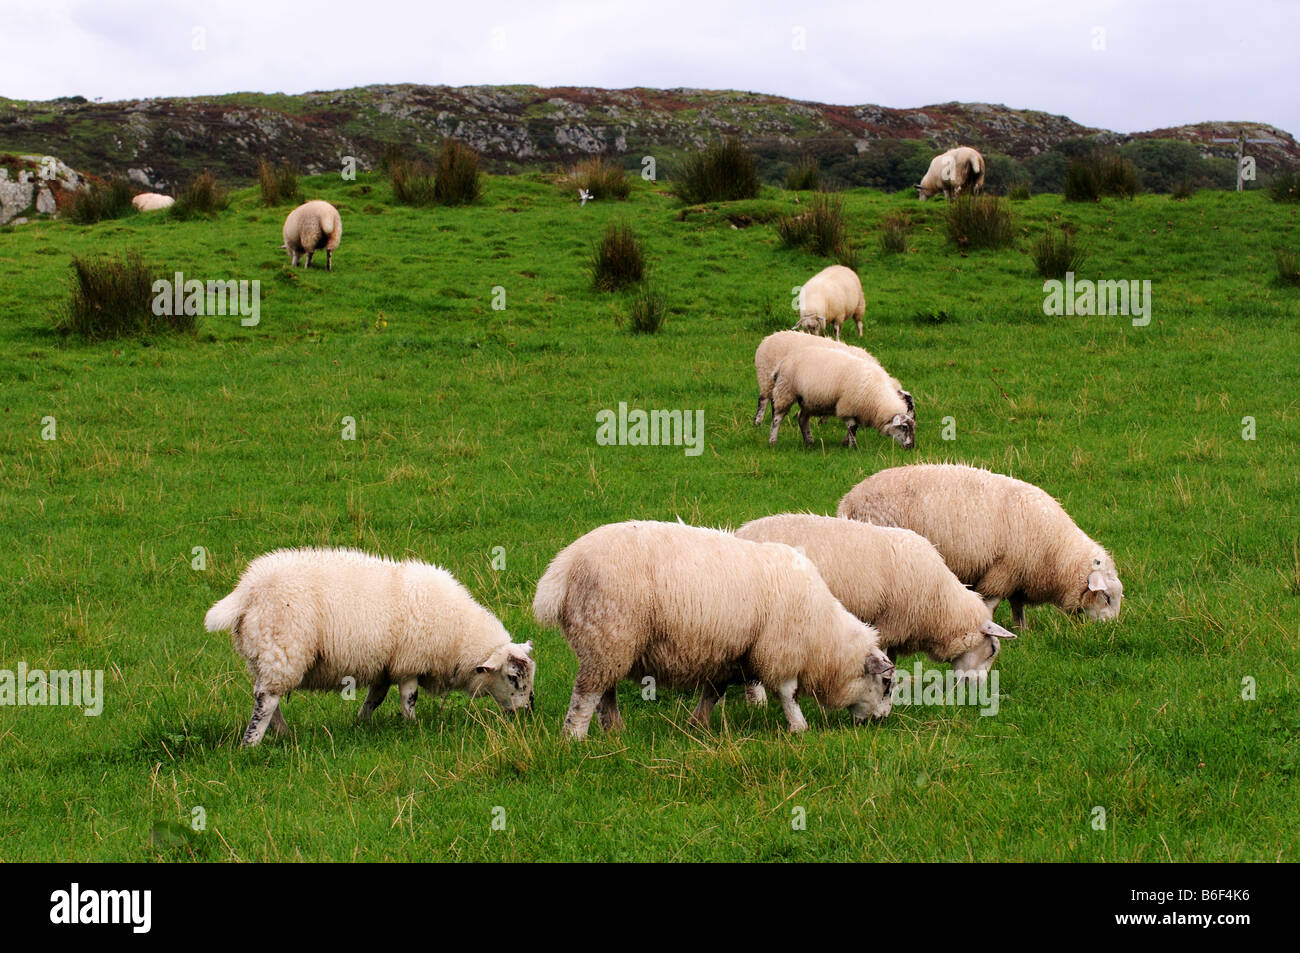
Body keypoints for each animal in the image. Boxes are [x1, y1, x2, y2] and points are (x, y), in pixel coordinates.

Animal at [204, 547, 535, 746]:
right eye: (512, 677)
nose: (528, 713)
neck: (459, 633)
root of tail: (248, 587)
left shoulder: (384, 666)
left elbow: (375, 698)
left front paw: (360, 724)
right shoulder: (410, 662)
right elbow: (409, 698)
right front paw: (412, 726)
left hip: (263, 654)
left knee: (265, 696)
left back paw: (283, 734)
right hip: (283, 649)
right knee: (265, 700)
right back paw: (251, 743)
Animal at [532, 520, 895, 738]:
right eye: (887, 684)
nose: (882, 721)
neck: (824, 636)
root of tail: (562, 568)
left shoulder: (728, 656)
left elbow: (713, 692)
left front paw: (698, 725)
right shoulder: (780, 649)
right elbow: (787, 693)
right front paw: (799, 727)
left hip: (611, 644)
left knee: (606, 691)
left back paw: (615, 730)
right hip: (607, 633)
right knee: (586, 694)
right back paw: (575, 738)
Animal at [735, 514, 1016, 690]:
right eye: (992, 650)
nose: (976, 688)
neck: (941, 603)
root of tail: (739, 532)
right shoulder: (892, 623)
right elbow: (889, 656)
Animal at [768, 345, 915, 449]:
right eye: (904, 427)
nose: (911, 446)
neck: (878, 399)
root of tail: (782, 362)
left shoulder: (858, 410)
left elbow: (853, 428)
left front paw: (846, 443)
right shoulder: (847, 406)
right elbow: (853, 427)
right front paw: (853, 447)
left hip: (808, 400)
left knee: (802, 419)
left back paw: (809, 442)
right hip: (785, 391)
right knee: (777, 418)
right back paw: (772, 441)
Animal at [837, 464, 1123, 629]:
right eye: (1107, 597)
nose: (1111, 629)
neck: (1056, 552)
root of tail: (847, 501)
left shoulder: (1019, 577)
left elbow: (1017, 608)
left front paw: (1022, 631)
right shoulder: (1002, 571)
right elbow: (992, 605)